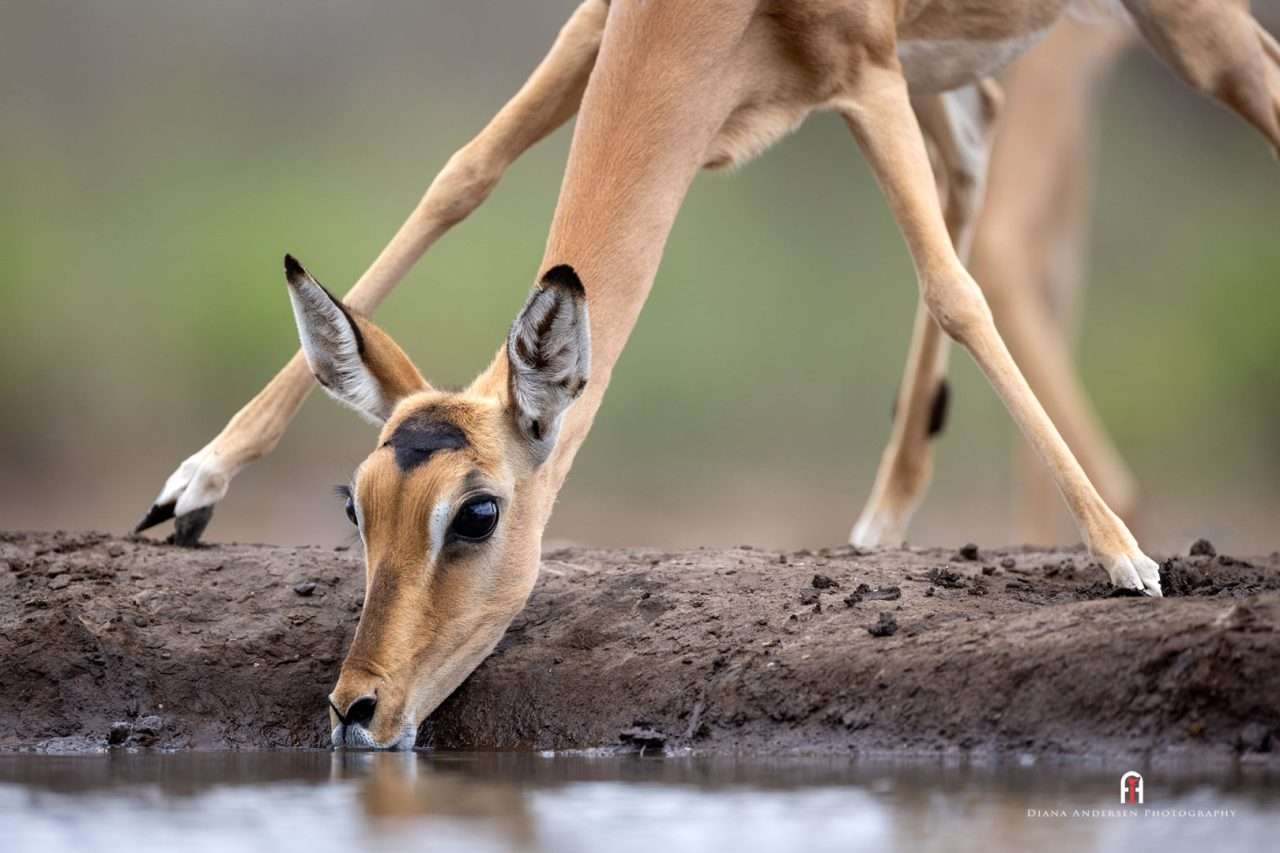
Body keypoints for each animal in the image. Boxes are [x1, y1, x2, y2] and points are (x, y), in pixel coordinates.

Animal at [135, 0, 1280, 749]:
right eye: (357, 505)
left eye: (477, 513)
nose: (354, 708)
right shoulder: (598, 27)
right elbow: (461, 174)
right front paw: (188, 489)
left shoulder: (865, 72)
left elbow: (954, 289)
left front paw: (1125, 561)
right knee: (979, 144)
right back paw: (880, 519)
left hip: (1177, 26)